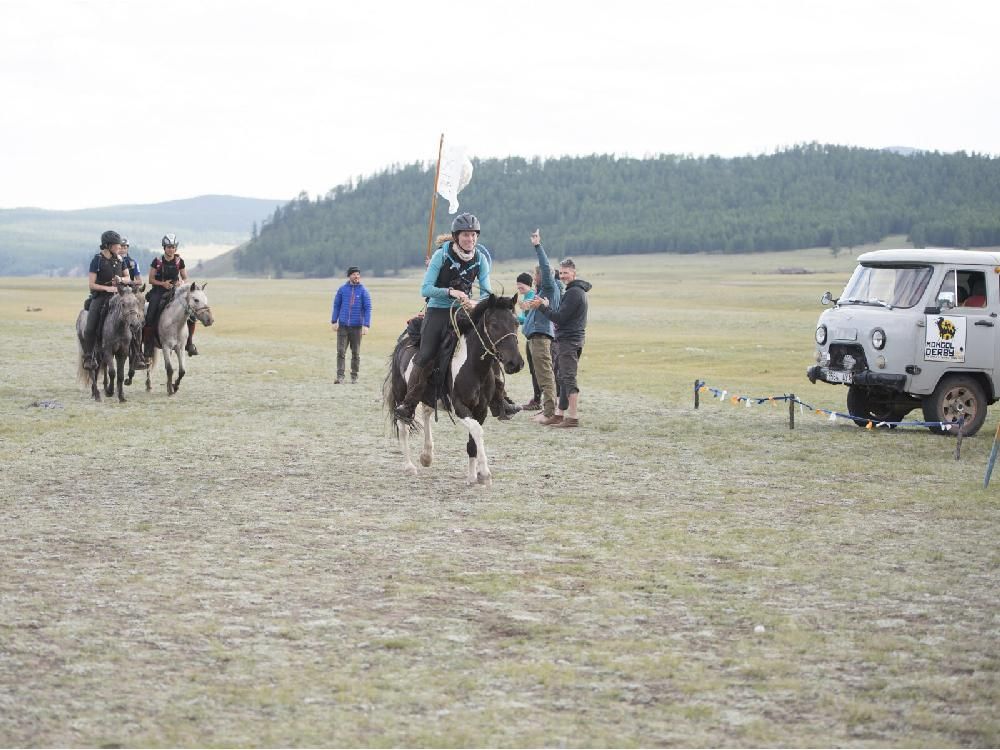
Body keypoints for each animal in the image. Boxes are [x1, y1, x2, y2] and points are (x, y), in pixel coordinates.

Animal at [383, 294, 524, 486]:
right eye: (493, 324)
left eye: (516, 323)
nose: (515, 363)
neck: (473, 366)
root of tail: (403, 342)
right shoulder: (459, 407)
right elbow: (477, 431)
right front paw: (484, 474)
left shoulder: (481, 410)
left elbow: (473, 441)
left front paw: (472, 477)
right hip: (400, 394)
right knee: (403, 425)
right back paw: (409, 466)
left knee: (426, 413)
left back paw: (427, 455)